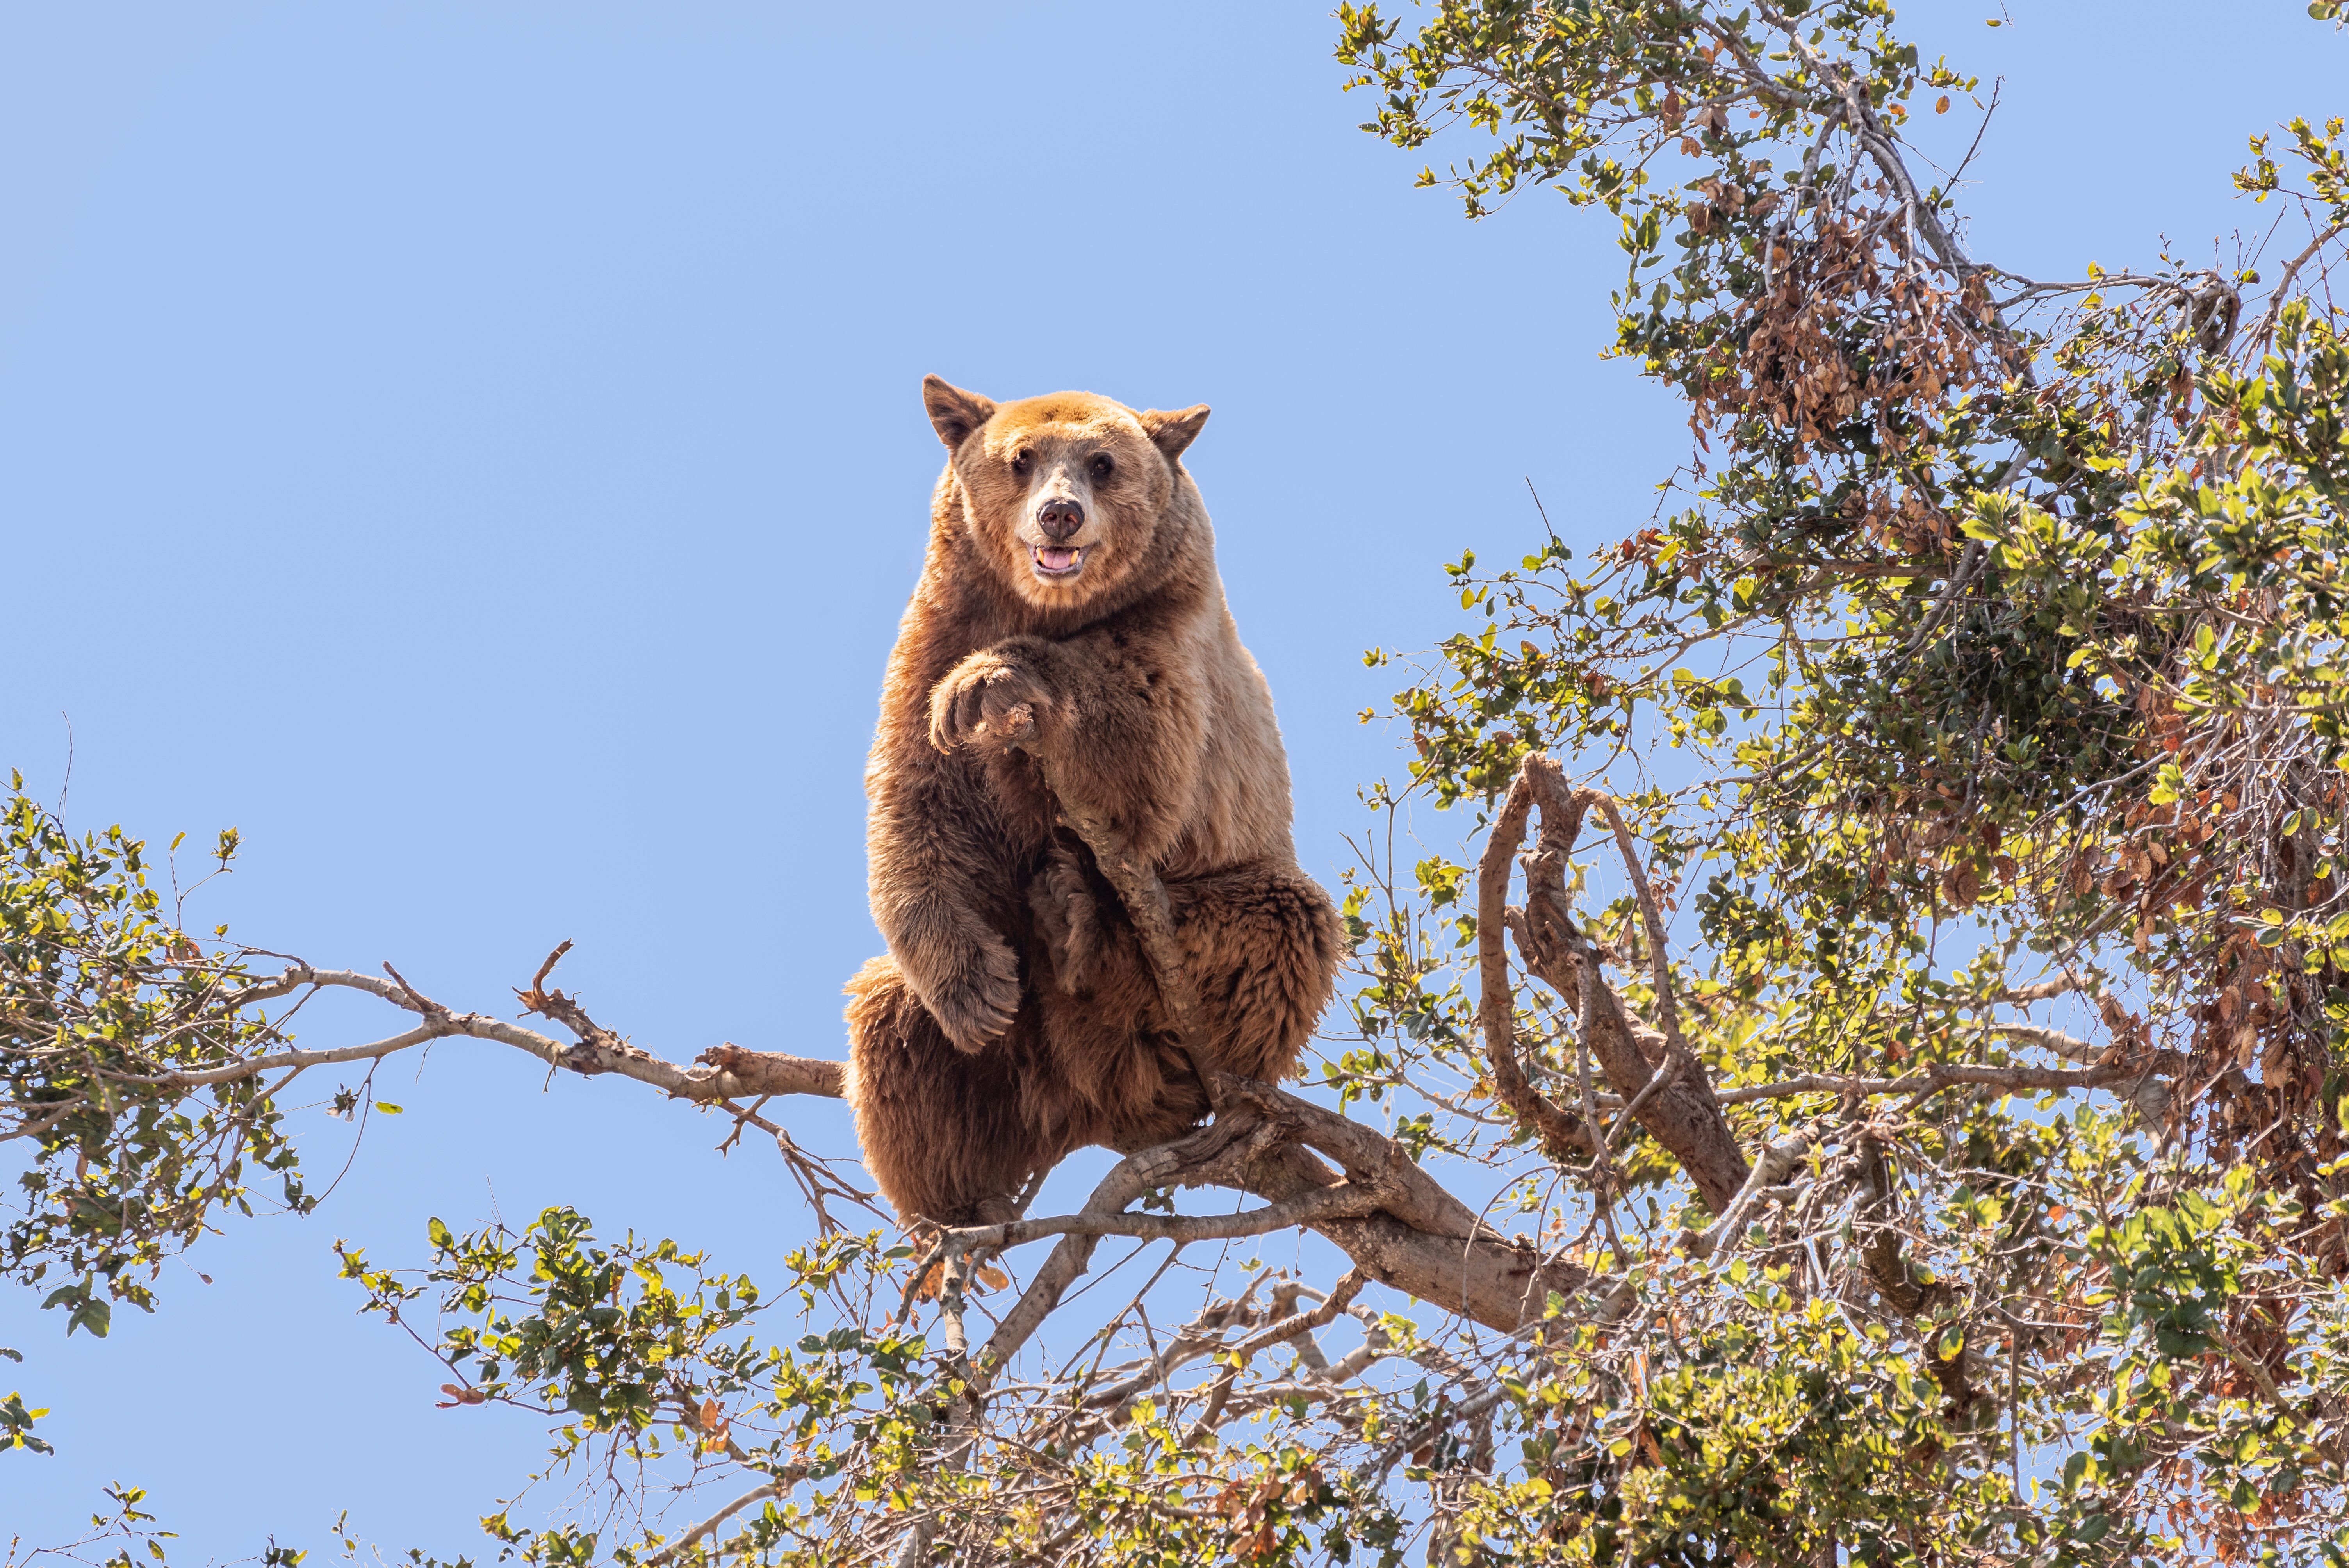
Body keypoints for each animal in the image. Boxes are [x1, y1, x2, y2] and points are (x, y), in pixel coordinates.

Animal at [841, 376, 1343, 1227]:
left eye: (1102, 462)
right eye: (1021, 457)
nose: (1060, 513)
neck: (1049, 606)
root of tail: (1081, 1103)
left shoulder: (1170, 628)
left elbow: (1140, 752)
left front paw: (993, 678)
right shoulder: (937, 626)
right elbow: (914, 797)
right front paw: (974, 991)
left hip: (1222, 920)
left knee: (1283, 923)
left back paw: (1080, 925)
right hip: (1006, 1058)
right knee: (891, 1019)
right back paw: (952, 1213)